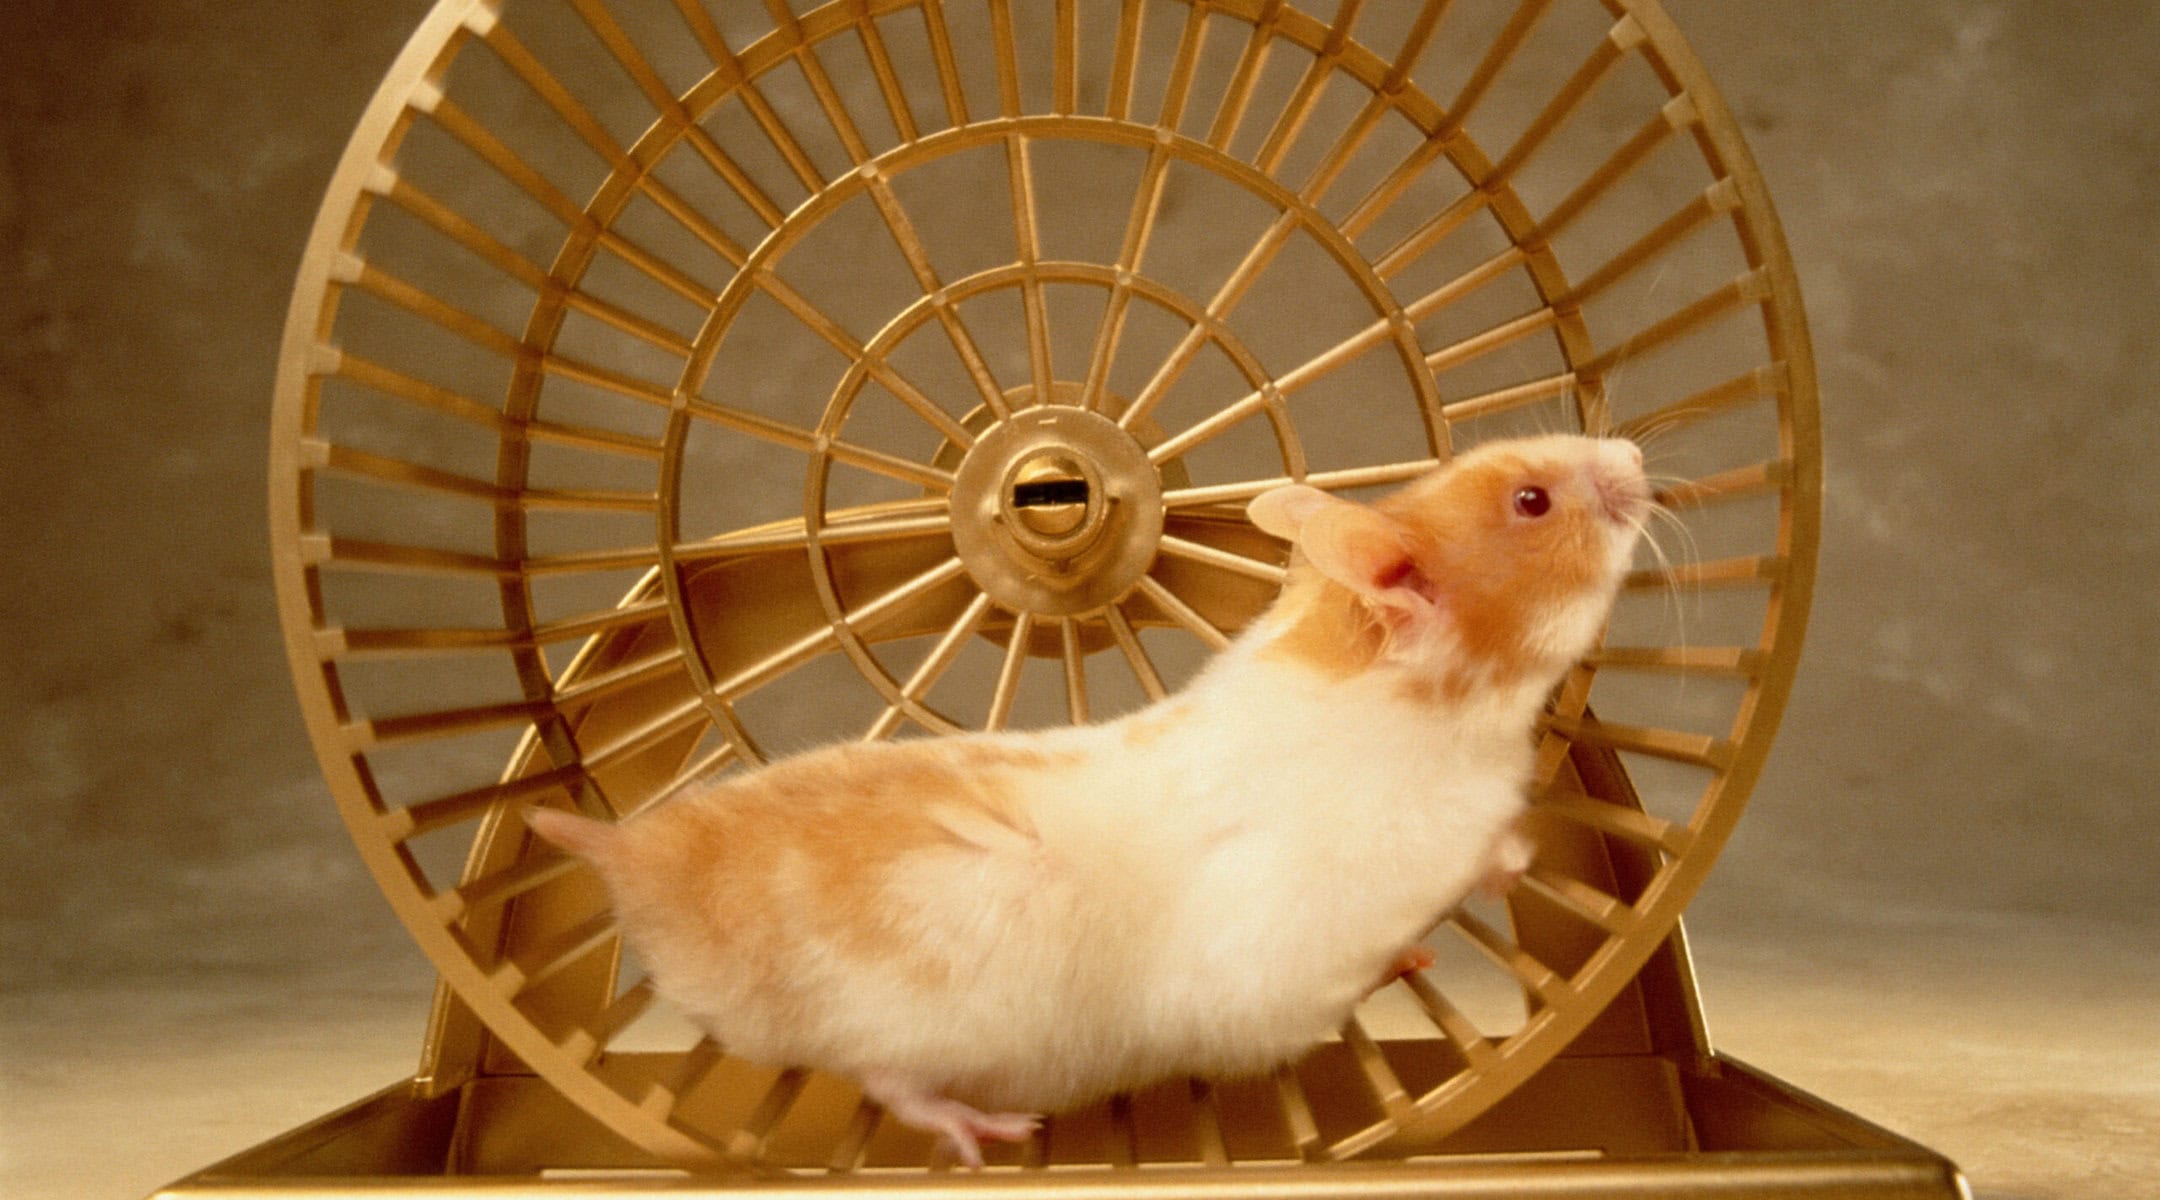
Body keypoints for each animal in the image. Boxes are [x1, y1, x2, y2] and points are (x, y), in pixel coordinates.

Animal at [527, 433, 1652, 1167]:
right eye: (1533, 503)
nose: (1635, 448)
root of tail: (634, 856)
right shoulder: (1313, 947)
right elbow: (1422, 911)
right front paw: (1476, 891)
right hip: (896, 1027)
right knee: (891, 1084)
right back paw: (988, 1131)